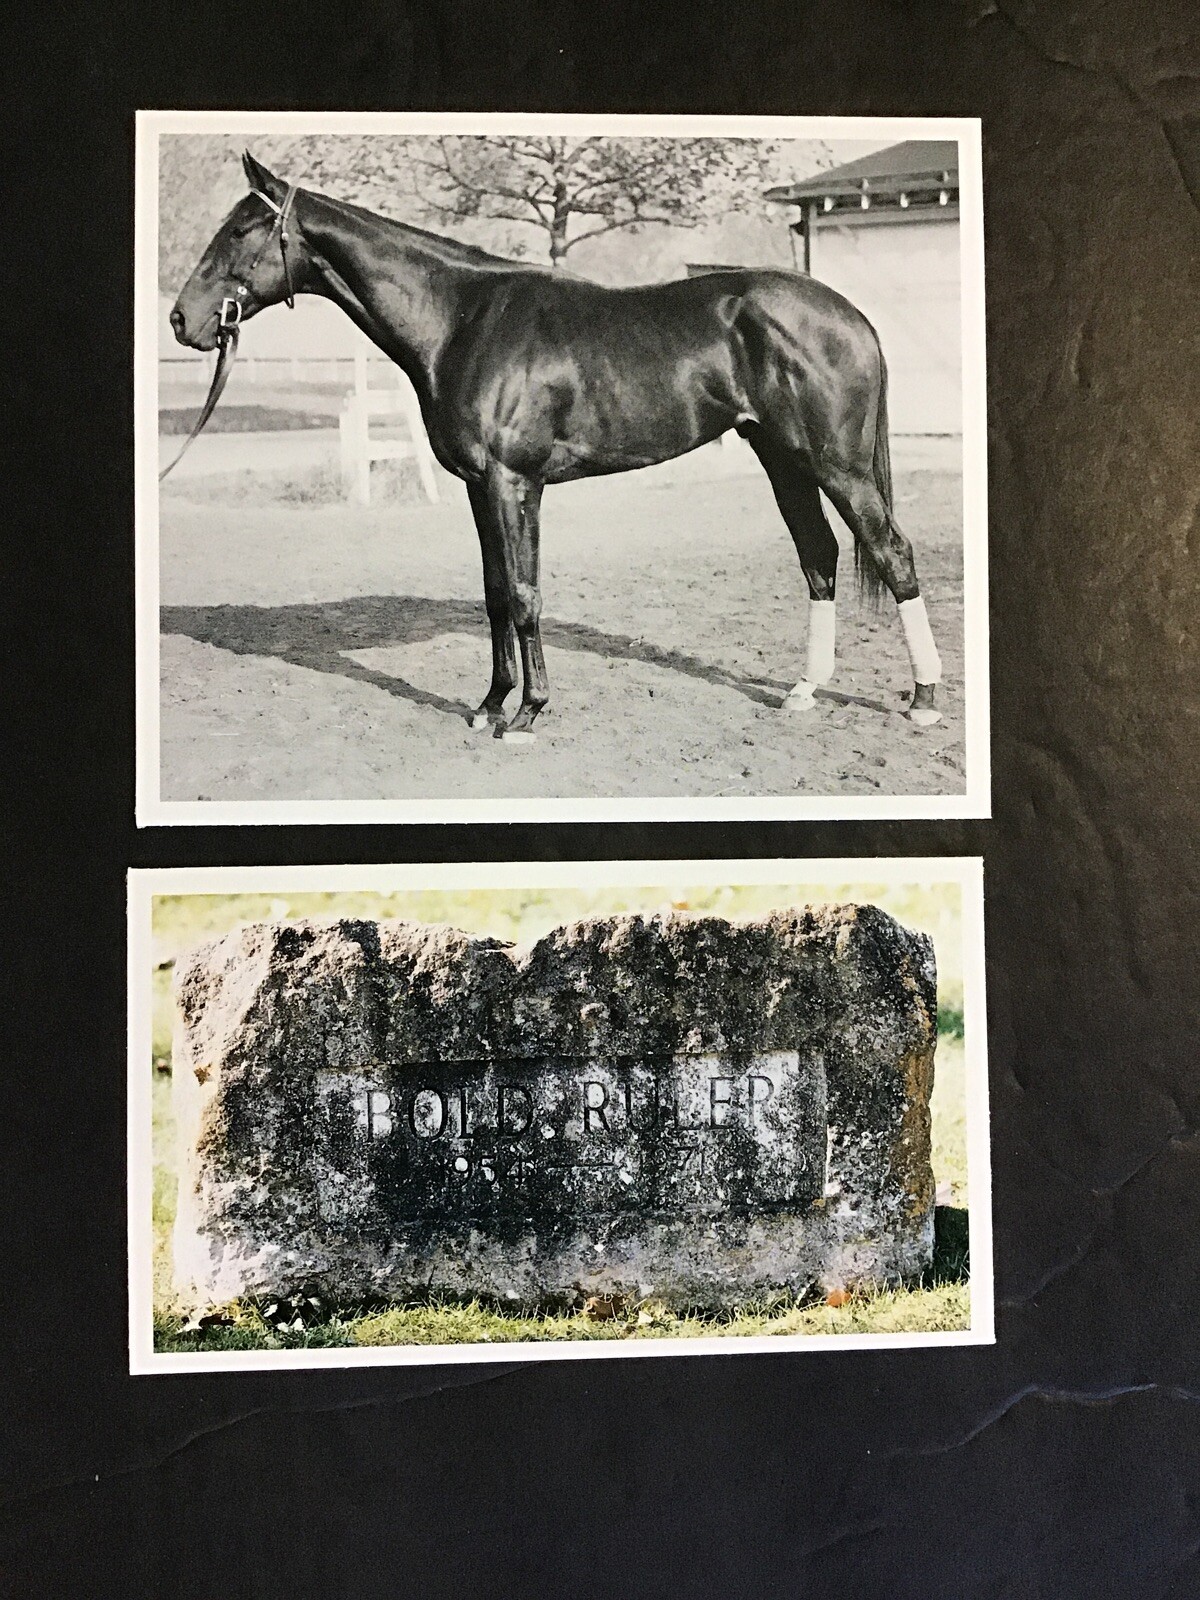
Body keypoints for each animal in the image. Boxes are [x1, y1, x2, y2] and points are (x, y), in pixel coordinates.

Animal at [169, 151, 944, 742]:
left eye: (241, 229)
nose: (182, 320)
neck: (462, 319)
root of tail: (852, 316)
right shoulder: (480, 486)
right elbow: (494, 594)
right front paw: (489, 706)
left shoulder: (514, 481)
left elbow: (523, 593)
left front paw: (528, 713)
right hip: (781, 458)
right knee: (819, 556)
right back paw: (804, 691)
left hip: (838, 465)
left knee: (892, 552)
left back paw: (924, 702)